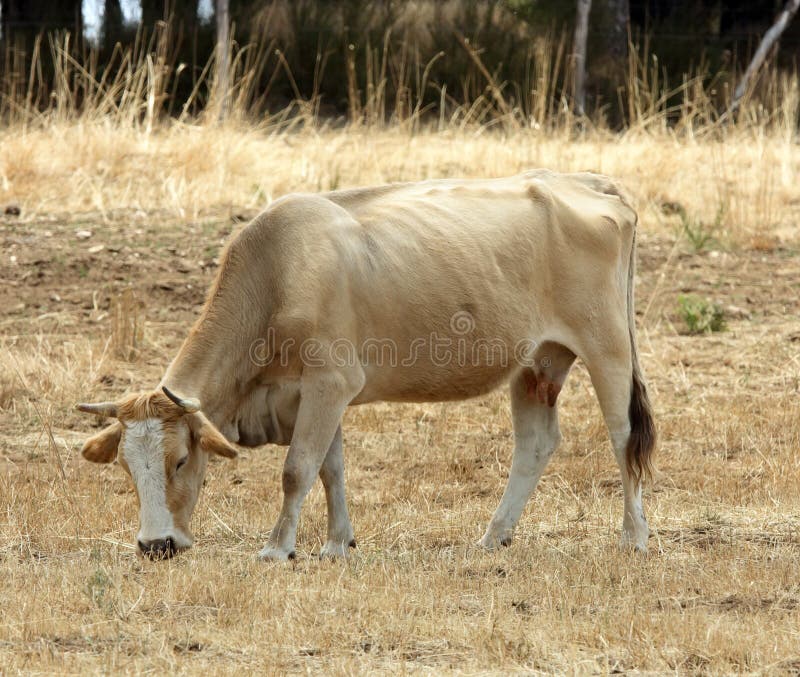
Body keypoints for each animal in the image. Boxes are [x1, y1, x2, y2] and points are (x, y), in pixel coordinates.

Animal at [76, 170, 656, 561]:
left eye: (179, 461)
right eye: (127, 467)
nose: (155, 545)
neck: (276, 276)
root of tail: (589, 182)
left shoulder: (330, 382)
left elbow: (297, 469)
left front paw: (277, 548)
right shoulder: (314, 395)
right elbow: (330, 469)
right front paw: (337, 544)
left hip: (607, 346)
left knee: (623, 436)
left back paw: (634, 537)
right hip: (536, 363)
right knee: (535, 444)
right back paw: (494, 536)